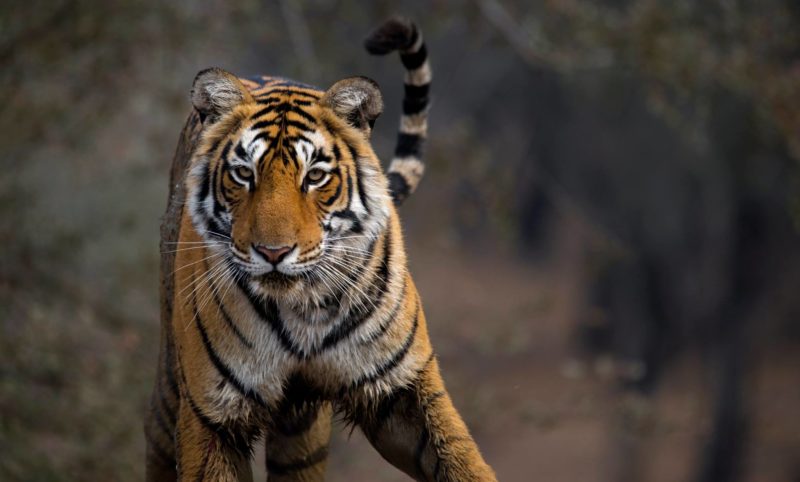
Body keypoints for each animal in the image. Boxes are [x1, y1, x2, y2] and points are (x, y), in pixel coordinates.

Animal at [144, 18, 497, 482]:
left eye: (314, 176)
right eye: (243, 174)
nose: (273, 252)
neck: (302, 309)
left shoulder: (402, 385)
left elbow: (461, 459)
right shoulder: (212, 415)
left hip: (302, 436)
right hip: (172, 386)